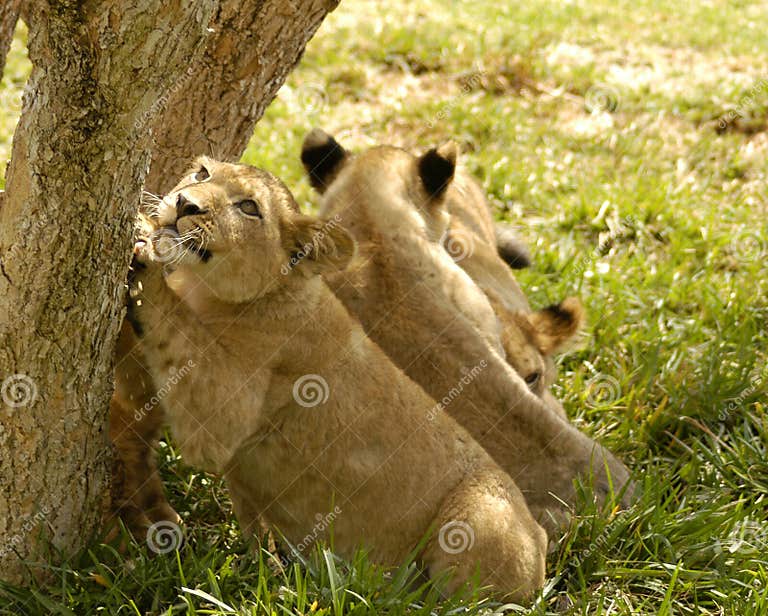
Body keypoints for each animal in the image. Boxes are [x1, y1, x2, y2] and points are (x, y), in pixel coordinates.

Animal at [124, 157, 547, 601]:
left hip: (479, 517)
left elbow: (178, 329)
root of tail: (540, 542)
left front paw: (144, 248)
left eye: (249, 208)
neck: (204, 290)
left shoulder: (224, 415)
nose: (185, 204)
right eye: (202, 174)